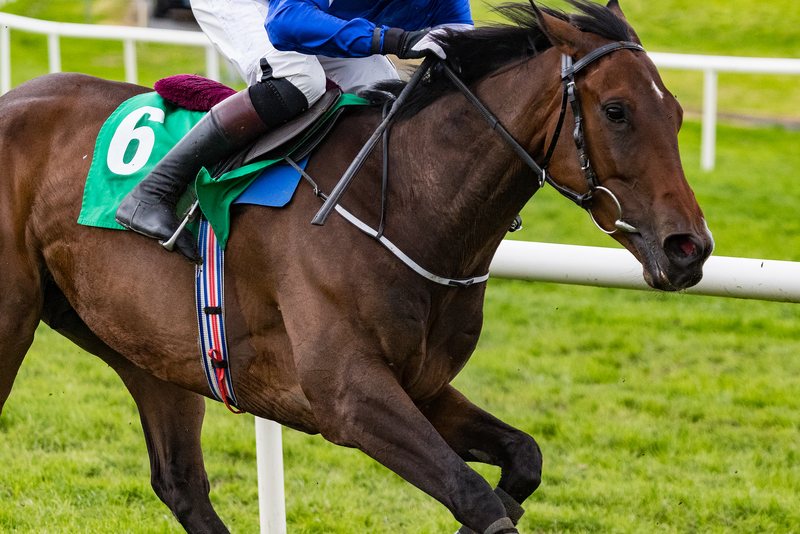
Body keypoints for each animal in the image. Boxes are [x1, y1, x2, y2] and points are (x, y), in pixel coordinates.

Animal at [0, 1, 713, 532]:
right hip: (17, 322)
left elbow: (523, 461)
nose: (690, 248)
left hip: (148, 347)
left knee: (181, 485)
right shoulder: (348, 397)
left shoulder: (420, 385)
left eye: (677, 113)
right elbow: (475, 496)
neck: (404, 202)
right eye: (616, 111)